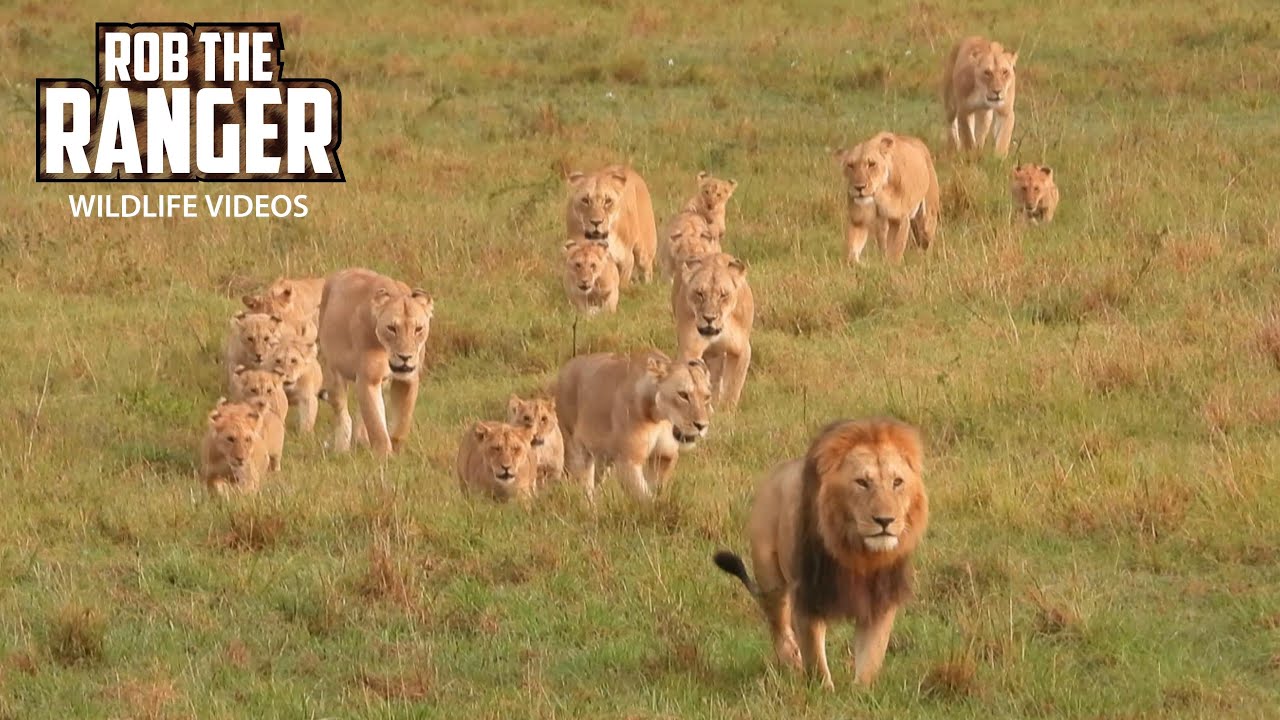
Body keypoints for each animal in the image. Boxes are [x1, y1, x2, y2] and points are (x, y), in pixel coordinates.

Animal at [317, 268, 434, 456]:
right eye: (392, 328)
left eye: (418, 329)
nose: (405, 357)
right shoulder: (368, 379)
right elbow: (376, 424)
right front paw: (384, 456)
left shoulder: (408, 380)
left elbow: (402, 421)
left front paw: (397, 450)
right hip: (333, 370)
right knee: (343, 412)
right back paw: (342, 448)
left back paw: (361, 441)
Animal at [553, 350, 712, 503]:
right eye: (683, 395)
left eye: (706, 397)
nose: (702, 426)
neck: (658, 418)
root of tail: (566, 368)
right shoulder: (628, 461)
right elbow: (646, 499)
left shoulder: (664, 456)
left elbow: (657, 487)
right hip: (576, 452)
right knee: (584, 489)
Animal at [672, 253, 754, 410]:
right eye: (699, 293)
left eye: (723, 295)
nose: (709, 318)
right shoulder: (689, 349)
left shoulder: (742, 350)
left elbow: (733, 387)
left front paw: (728, 411)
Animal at [713, 418, 928, 689]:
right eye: (862, 482)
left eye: (897, 482)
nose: (885, 520)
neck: (858, 553)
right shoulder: (809, 595)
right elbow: (815, 657)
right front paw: (824, 690)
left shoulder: (880, 599)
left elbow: (871, 656)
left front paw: (860, 692)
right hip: (770, 578)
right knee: (778, 626)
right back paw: (791, 659)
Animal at [836, 132, 940, 264]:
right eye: (850, 165)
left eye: (871, 164)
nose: (859, 187)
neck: (877, 195)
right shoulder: (858, 220)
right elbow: (852, 250)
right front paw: (856, 263)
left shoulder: (900, 219)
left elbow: (896, 250)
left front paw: (891, 265)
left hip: (927, 217)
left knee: (926, 241)